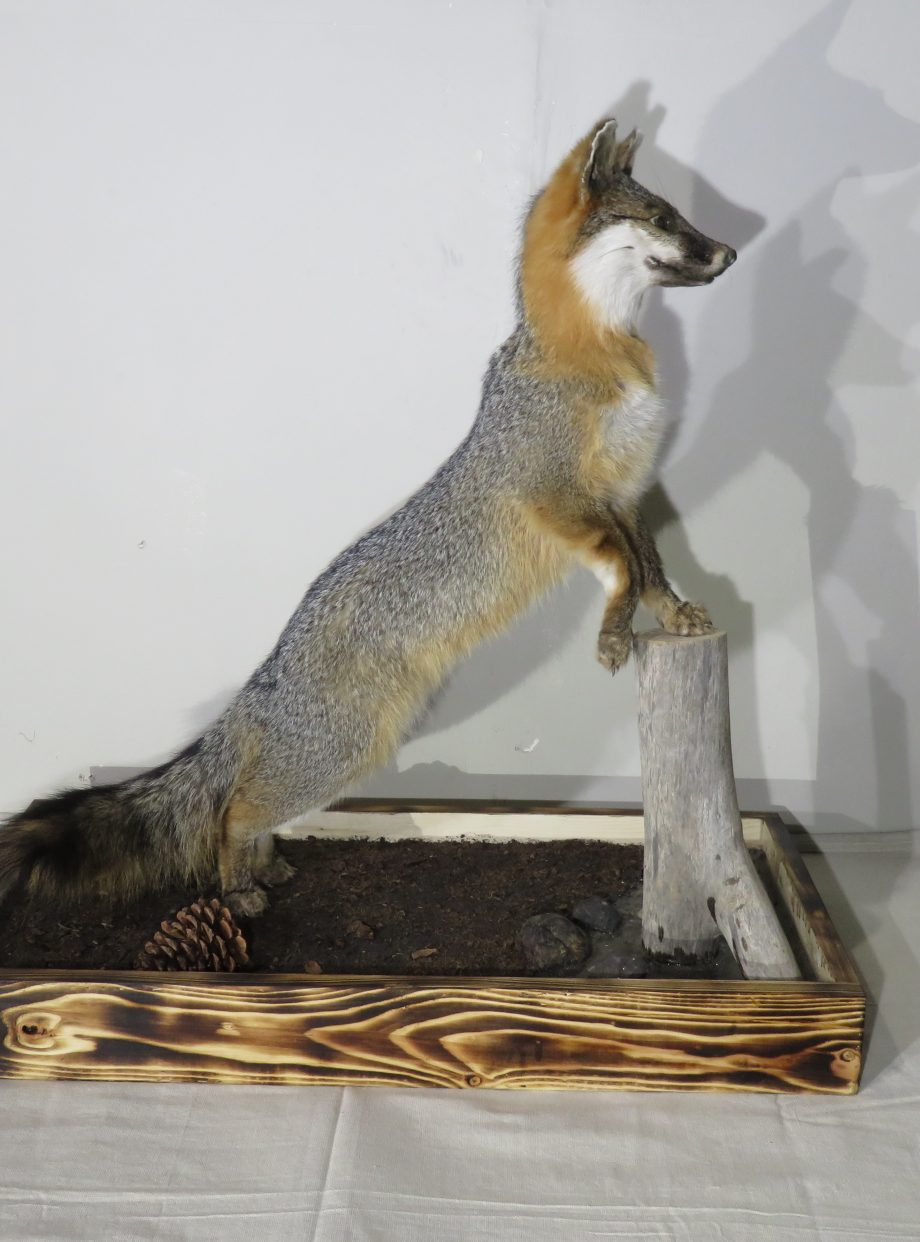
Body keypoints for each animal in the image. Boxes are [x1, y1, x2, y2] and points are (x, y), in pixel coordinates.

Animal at [0, 118, 736, 917]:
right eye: (663, 218)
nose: (729, 252)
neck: (602, 357)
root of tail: (266, 676)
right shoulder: (557, 498)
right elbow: (620, 565)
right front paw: (612, 636)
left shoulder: (628, 494)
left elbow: (651, 565)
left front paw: (674, 616)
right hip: (338, 758)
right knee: (232, 811)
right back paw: (238, 888)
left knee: (252, 812)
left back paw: (266, 870)